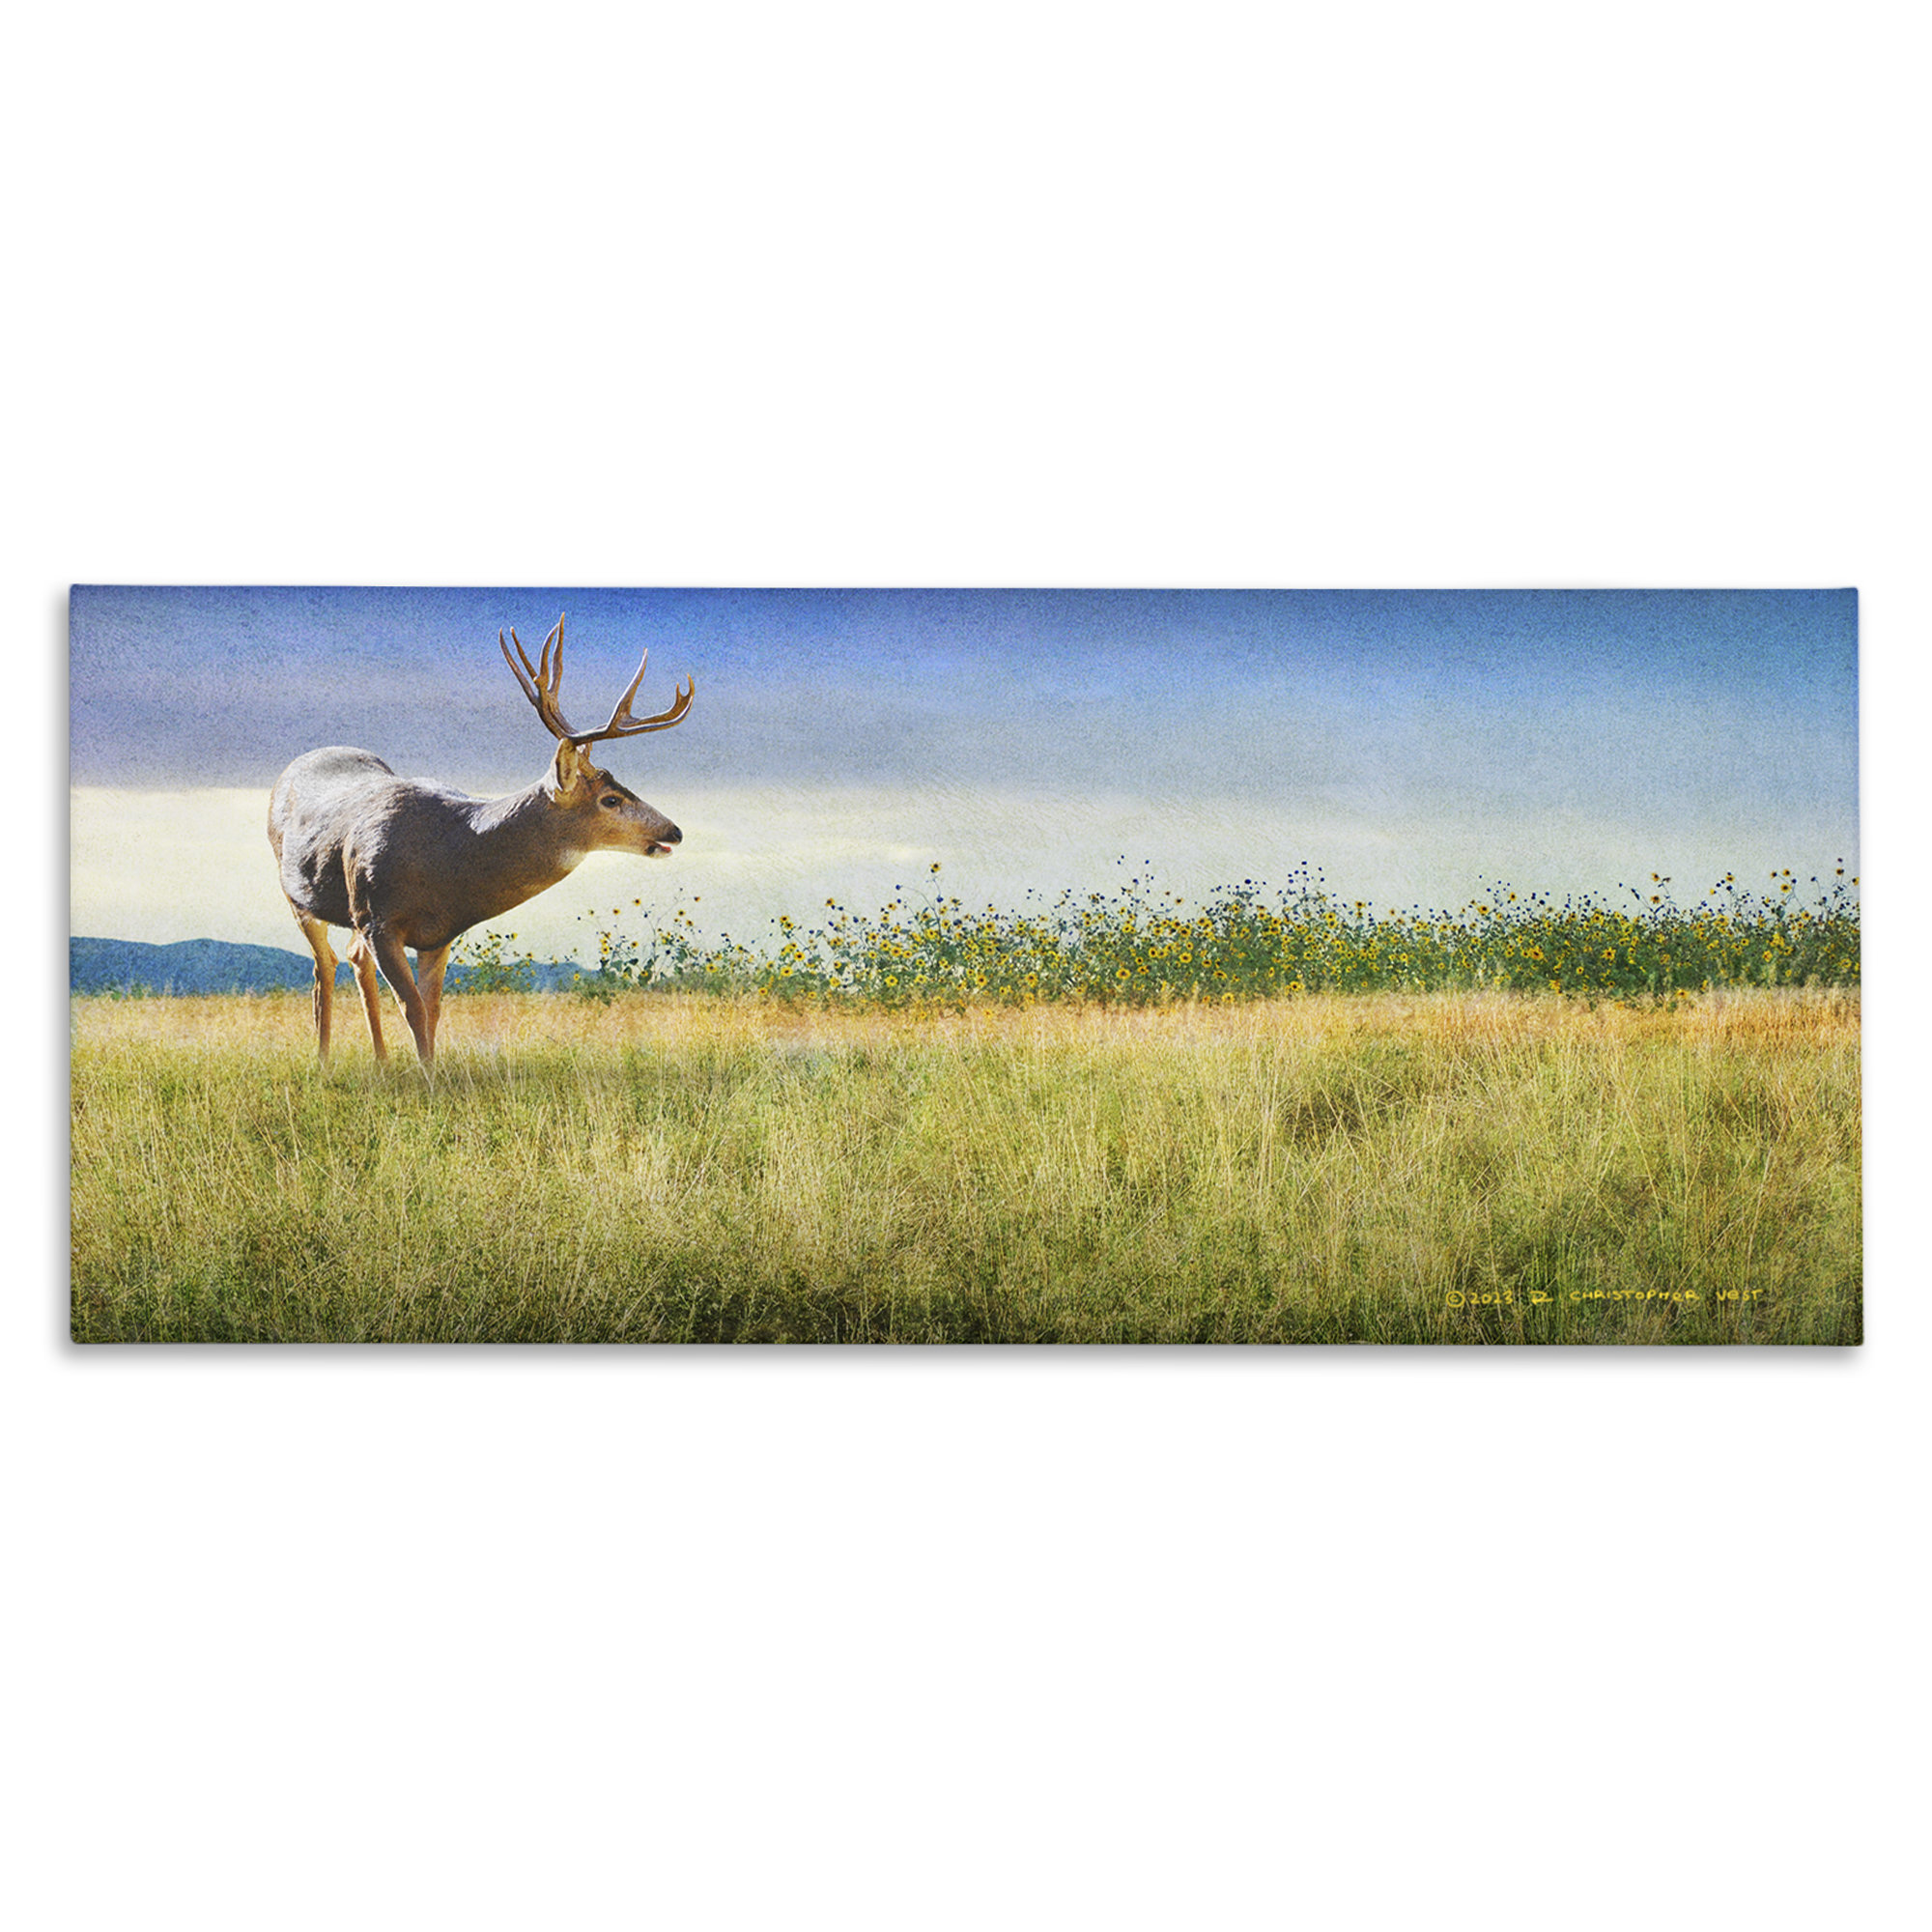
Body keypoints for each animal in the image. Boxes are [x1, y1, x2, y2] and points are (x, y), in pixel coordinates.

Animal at [267, 615, 694, 1067]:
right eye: (610, 799)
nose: (674, 831)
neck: (449, 859)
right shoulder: (377, 918)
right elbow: (412, 1008)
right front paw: (427, 1080)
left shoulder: (436, 935)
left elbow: (432, 1010)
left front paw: (430, 1069)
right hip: (299, 897)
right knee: (324, 967)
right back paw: (323, 1061)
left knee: (353, 959)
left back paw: (381, 1062)